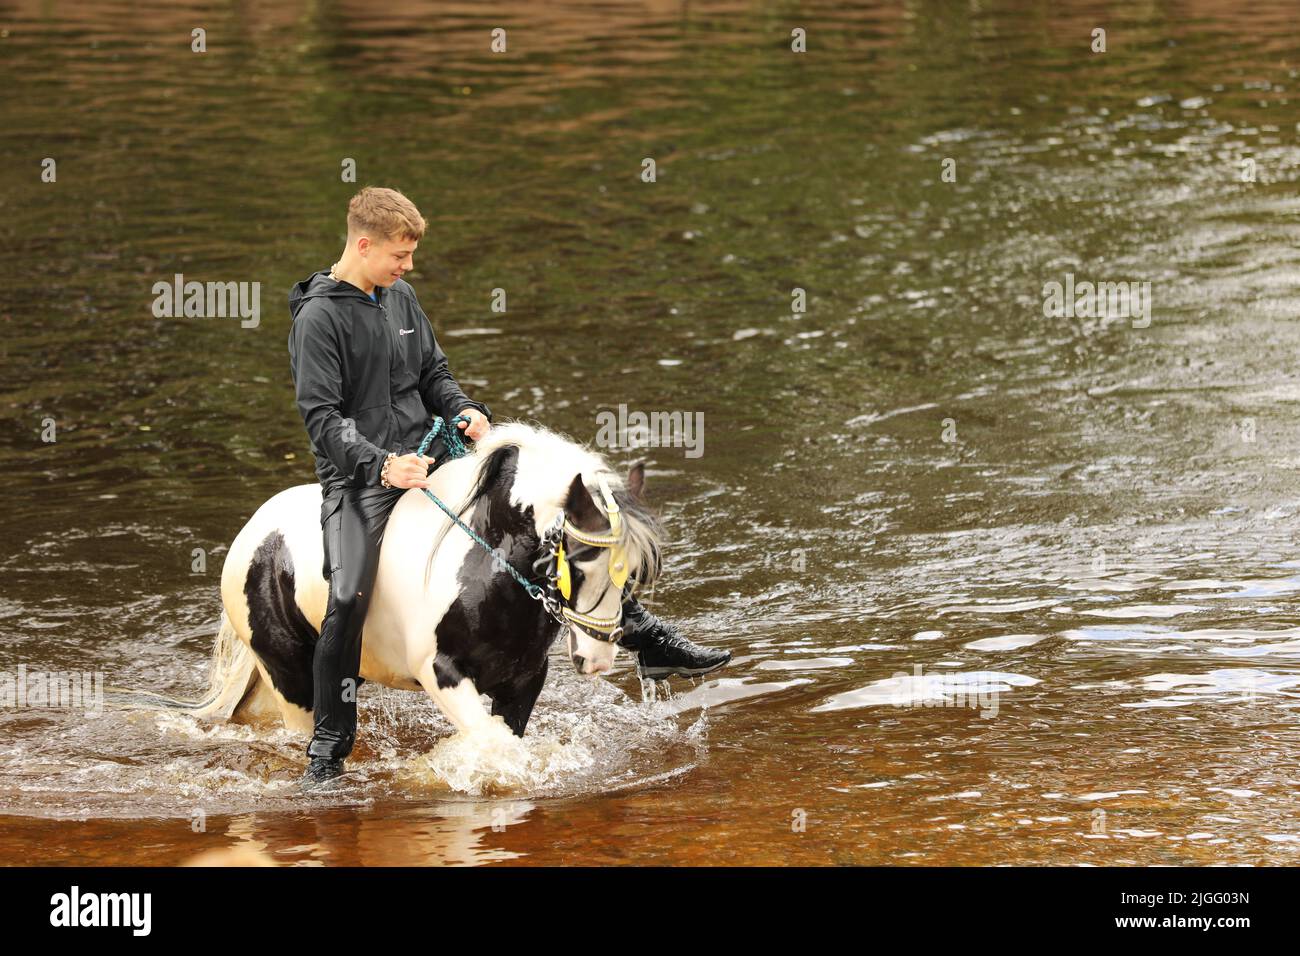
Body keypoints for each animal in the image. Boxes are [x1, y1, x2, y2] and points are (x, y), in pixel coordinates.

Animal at [136, 422, 663, 744]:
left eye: (633, 576)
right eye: (580, 564)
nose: (597, 659)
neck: (486, 564)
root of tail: (251, 535)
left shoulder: (524, 680)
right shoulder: (441, 673)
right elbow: (491, 747)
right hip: (288, 674)